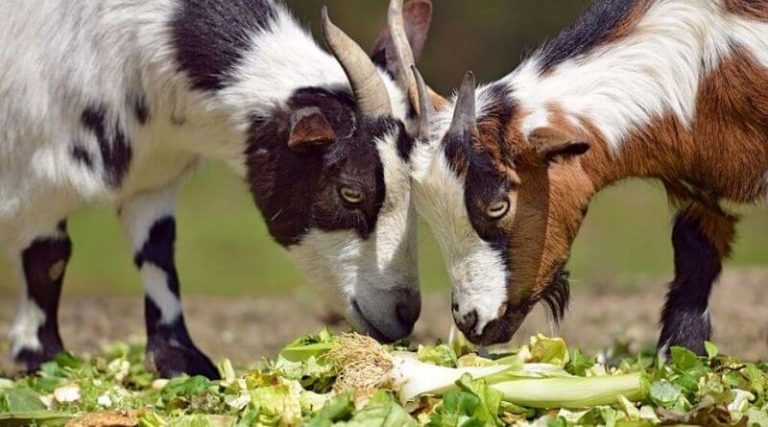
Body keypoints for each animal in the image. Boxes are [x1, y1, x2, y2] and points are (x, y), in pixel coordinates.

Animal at [0, 0, 432, 378]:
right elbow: (49, 258)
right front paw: (42, 355)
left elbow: (158, 253)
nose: (405, 313)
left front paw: (179, 357)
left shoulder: (153, 177)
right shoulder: (39, 171)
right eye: (351, 192)